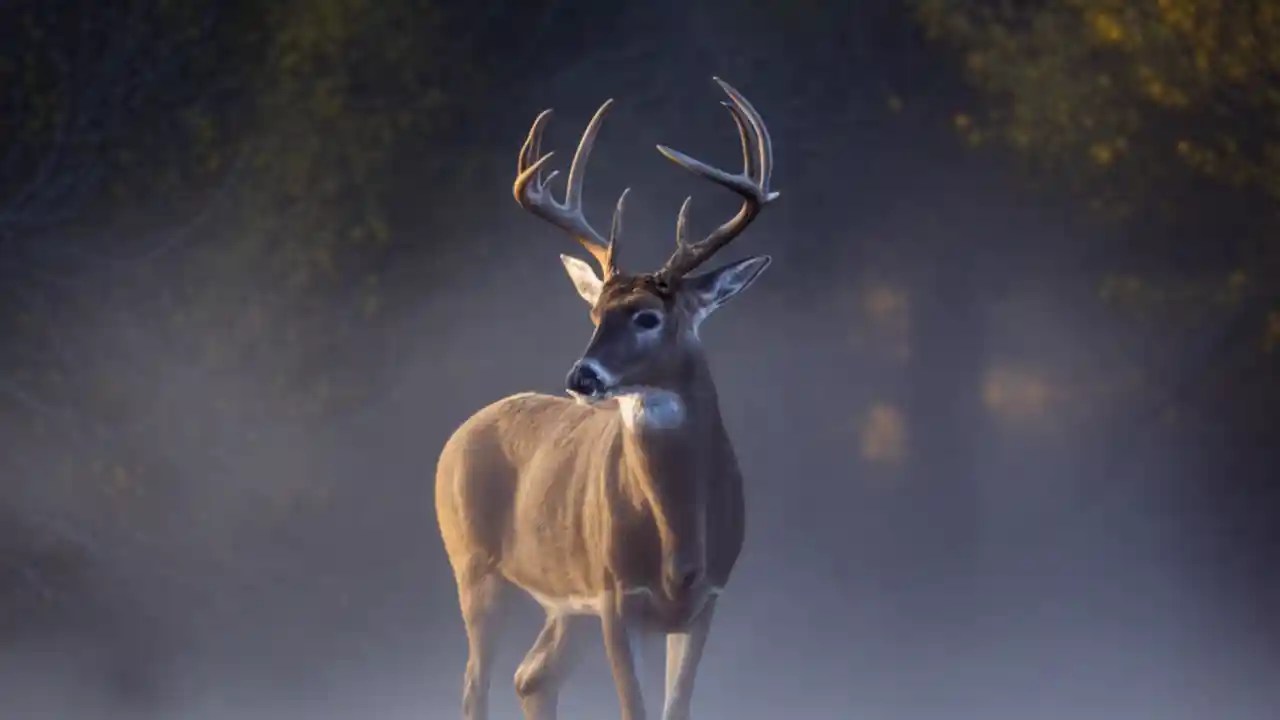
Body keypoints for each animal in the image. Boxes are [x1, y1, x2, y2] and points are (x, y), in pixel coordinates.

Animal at [434, 77, 779, 720]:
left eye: (646, 316)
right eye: (595, 313)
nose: (582, 376)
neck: (678, 548)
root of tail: (460, 432)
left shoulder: (706, 602)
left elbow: (676, 710)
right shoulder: (616, 595)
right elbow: (634, 711)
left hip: (563, 603)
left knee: (531, 676)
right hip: (473, 563)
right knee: (474, 685)